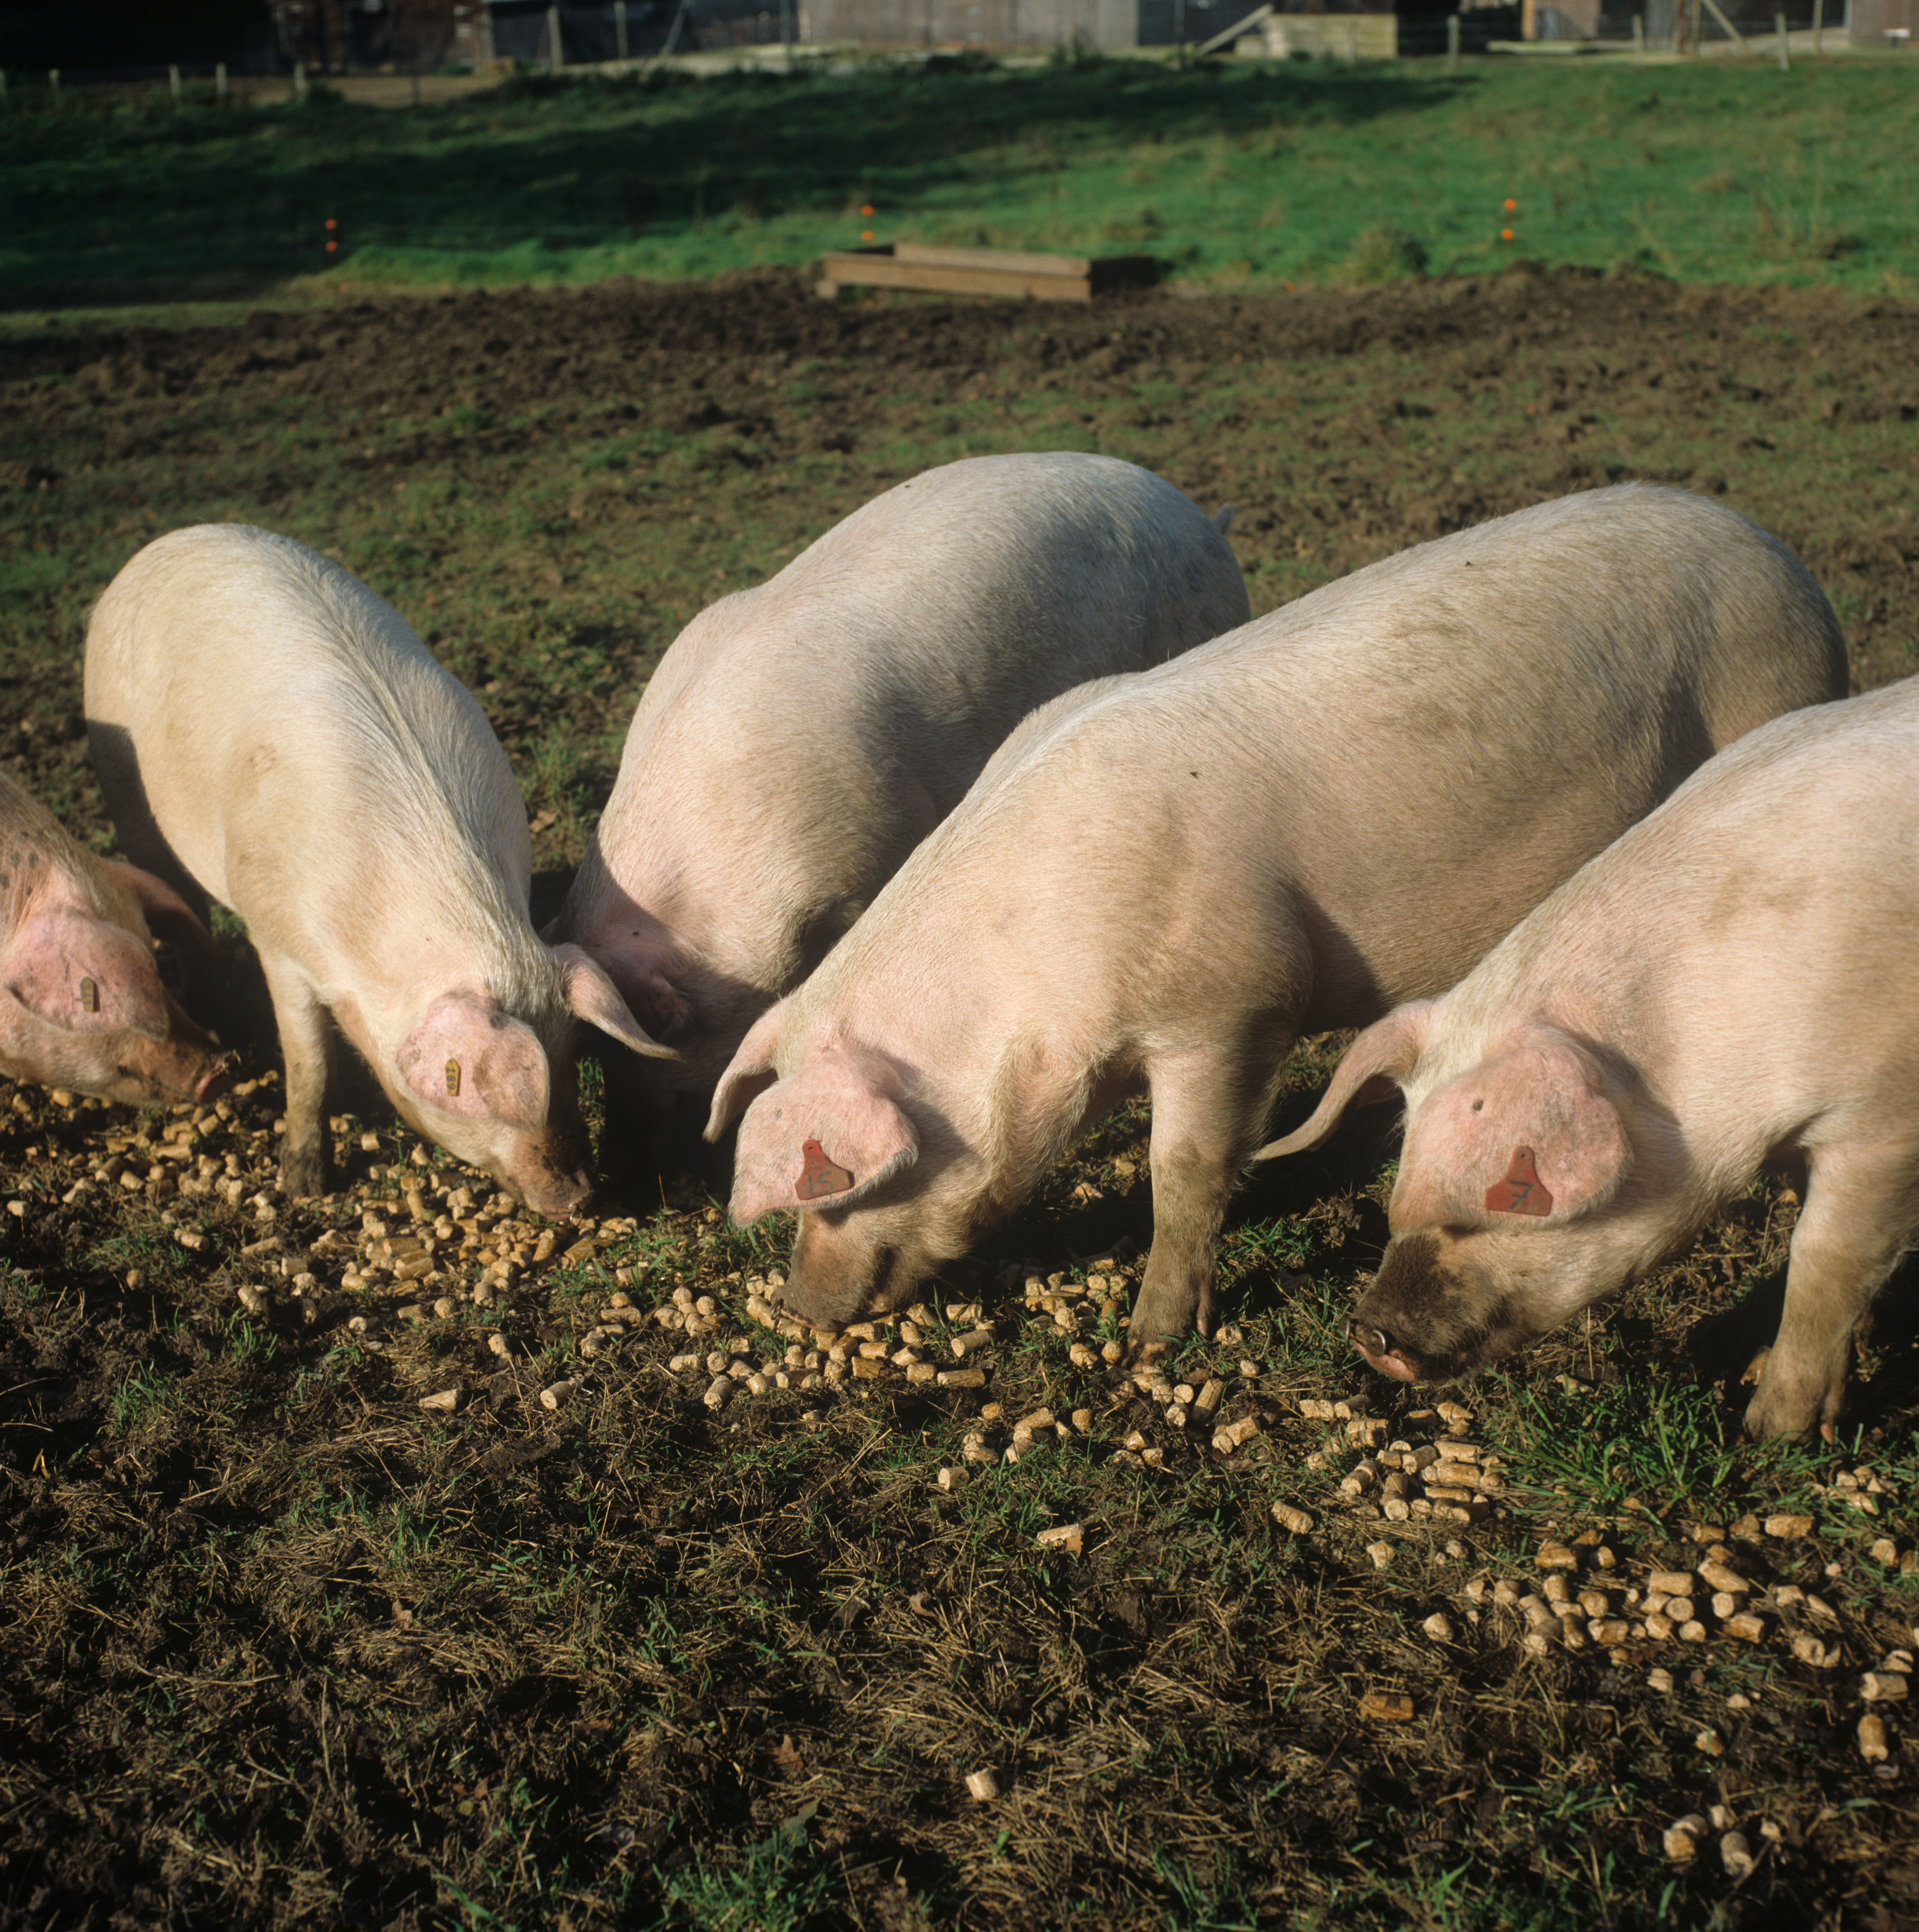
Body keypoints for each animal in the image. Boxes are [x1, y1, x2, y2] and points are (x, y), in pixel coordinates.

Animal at [83, 525, 666, 1211]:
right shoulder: (275, 932)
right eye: (480, 1091)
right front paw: (304, 1186)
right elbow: (310, 1059)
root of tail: (174, 538)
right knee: (177, 903)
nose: (578, 1196)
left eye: (574, 1052)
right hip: (121, 778)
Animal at [705, 485, 1847, 1342]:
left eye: (834, 1186)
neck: (1032, 969)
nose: (801, 1308)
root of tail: (1782, 556)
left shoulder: (1231, 1003)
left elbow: (1185, 1171)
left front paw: (1151, 1339)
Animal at [1261, 676, 1919, 1440]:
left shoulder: (1881, 1121)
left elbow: (1822, 1260)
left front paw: (1770, 1430)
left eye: (1469, 1214)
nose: (1368, 1332)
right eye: (1395, 1200)